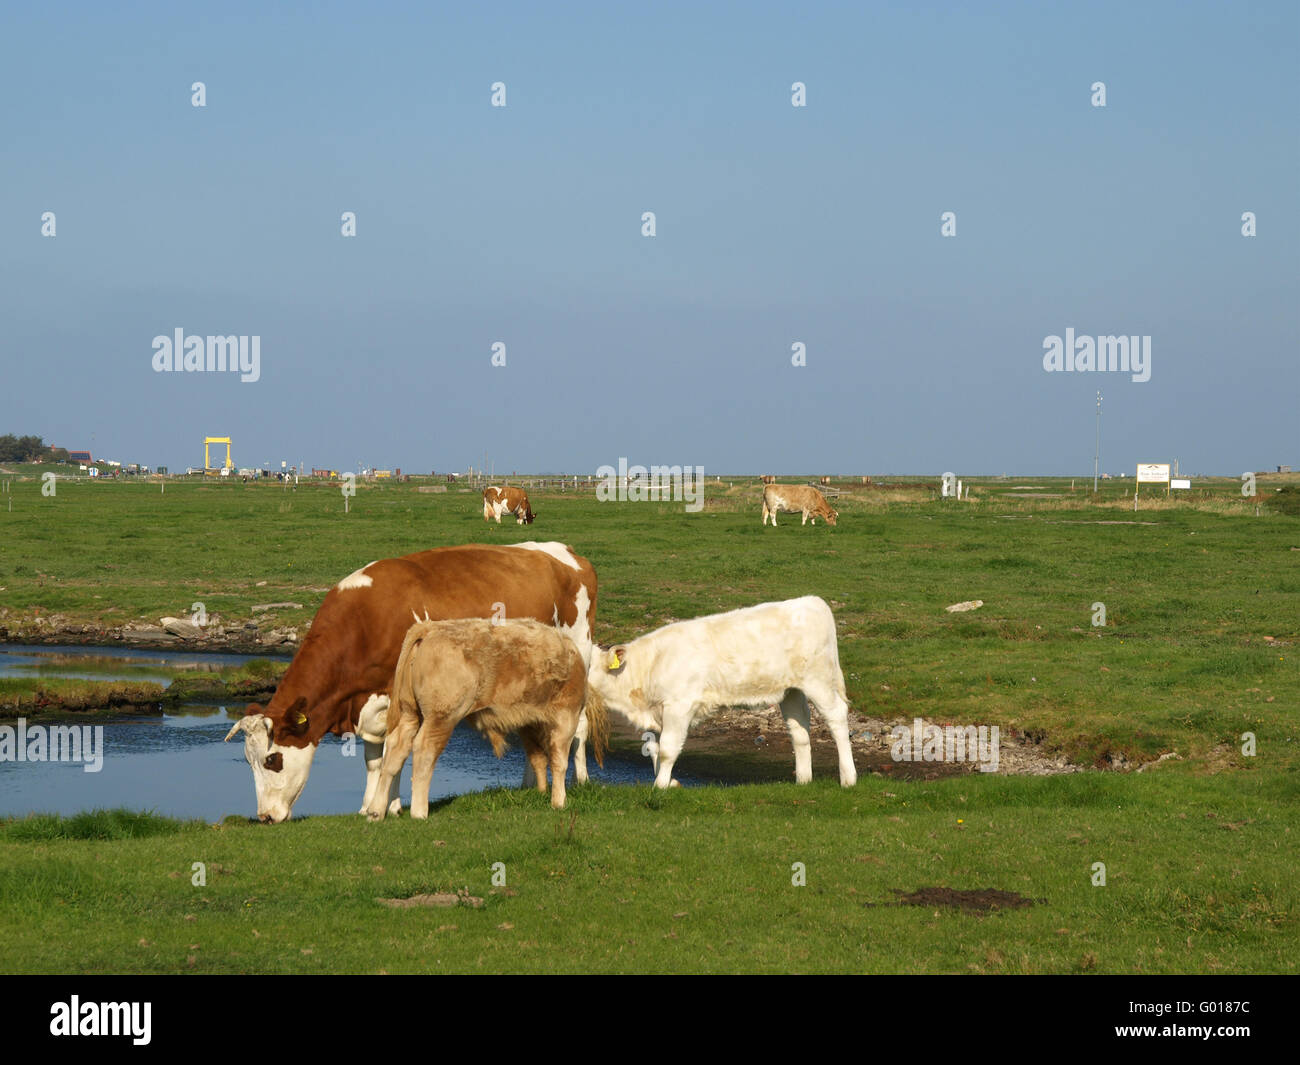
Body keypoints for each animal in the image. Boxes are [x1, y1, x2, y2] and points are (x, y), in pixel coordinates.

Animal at [366, 618, 594, 819]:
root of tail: (430, 628)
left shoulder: (529, 722)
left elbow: (537, 758)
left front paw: (541, 793)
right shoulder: (567, 715)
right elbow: (559, 760)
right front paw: (559, 801)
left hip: (410, 712)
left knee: (396, 749)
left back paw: (376, 811)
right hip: (442, 716)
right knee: (424, 750)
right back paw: (419, 811)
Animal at [587, 596, 857, 789]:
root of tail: (812, 601)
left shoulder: (679, 705)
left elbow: (667, 749)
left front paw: (660, 786)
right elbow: (654, 748)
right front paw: (668, 781)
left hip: (819, 681)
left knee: (836, 716)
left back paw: (848, 778)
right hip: (791, 689)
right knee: (799, 727)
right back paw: (803, 780)